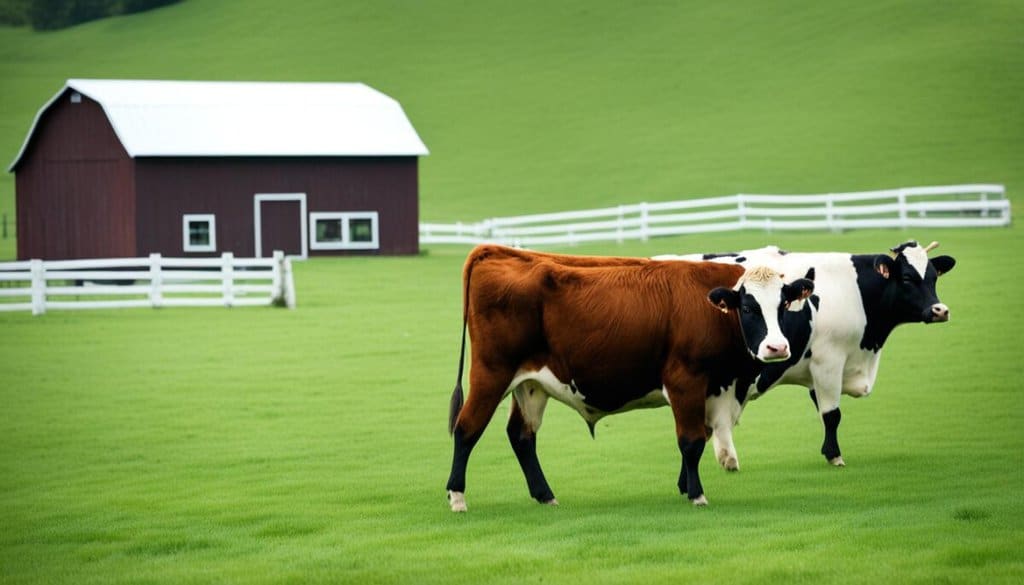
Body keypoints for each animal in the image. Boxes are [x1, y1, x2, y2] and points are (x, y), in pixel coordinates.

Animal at [444, 244, 815, 511]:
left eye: (783, 306)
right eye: (749, 308)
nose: (776, 347)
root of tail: (499, 251)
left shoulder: (712, 387)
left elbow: (701, 436)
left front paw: (684, 486)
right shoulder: (685, 380)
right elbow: (691, 440)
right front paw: (696, 494)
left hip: (531, 385)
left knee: (522, 436)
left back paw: (545, 494)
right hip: (492, 373)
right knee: (467, 428)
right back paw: (457, 496)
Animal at [655, 240, 956, 469]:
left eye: (933, 277)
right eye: (906, 277)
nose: (939, 310)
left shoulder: (817, 368)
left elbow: (821, 408)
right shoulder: (829, 360)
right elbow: (832, 414)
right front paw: (835, 456)